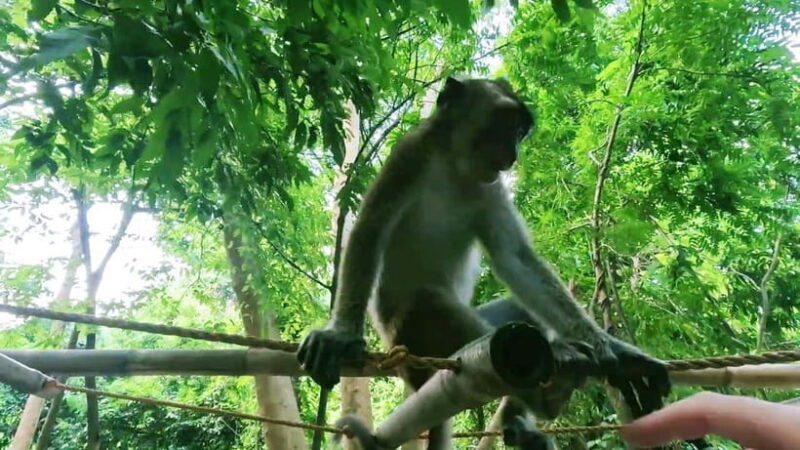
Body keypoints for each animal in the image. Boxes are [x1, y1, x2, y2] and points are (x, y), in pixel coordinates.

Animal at [298, 77, 670, 449]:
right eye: (505, 123)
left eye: (519, 131)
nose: (513, 152)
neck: (453, 164)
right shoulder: (410, 155)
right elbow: (370, 230)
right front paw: (341, 334)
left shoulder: (489, 185)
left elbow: (514, 257)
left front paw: (614, 348)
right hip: (411, 334)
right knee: (431, 306)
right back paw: (551, 378)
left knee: (517, 315)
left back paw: (525, 418)